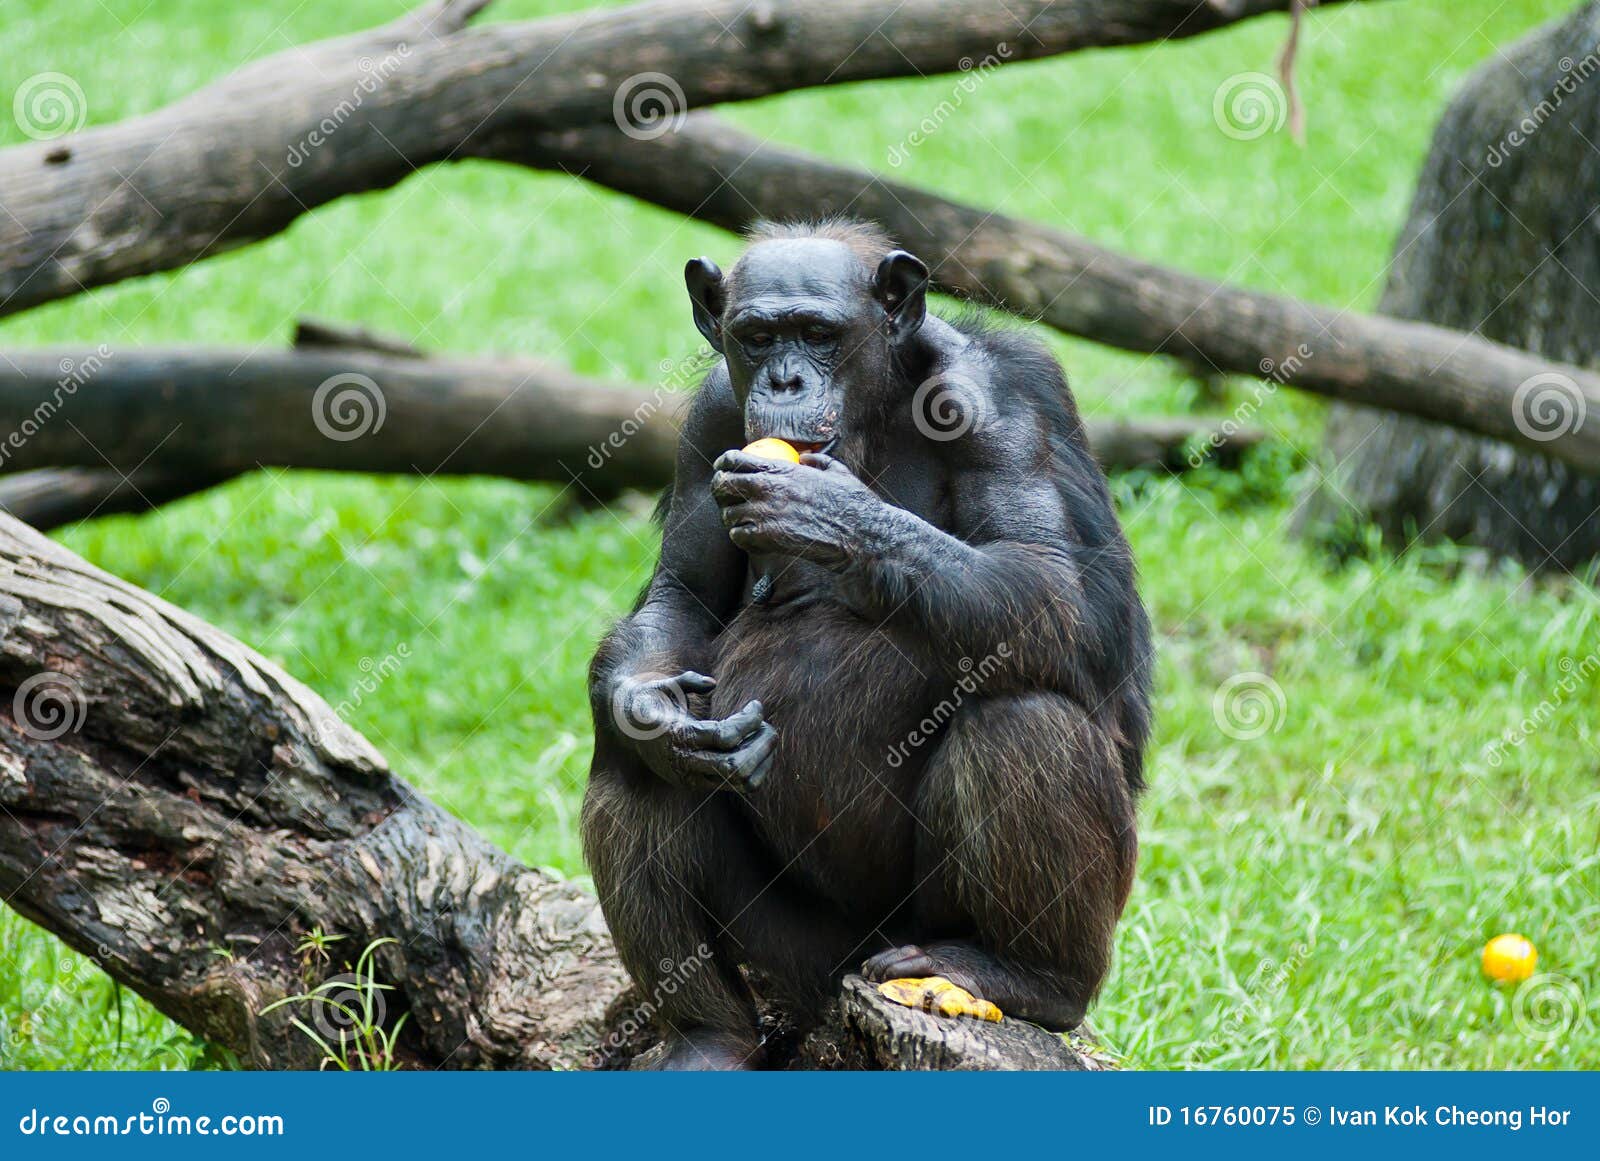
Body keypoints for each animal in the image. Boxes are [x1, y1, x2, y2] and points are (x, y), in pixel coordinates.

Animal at [583, 218, 1152, 1069]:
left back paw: (1025, 976)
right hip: (793, 949)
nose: (785, 380)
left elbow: (1058, 588)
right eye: (758, 337)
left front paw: (826, 510)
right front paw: (660, 717)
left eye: (820, 335)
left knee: (1025, 715)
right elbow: (682, 596)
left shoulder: (997, 402)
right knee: (633, 767)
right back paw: (708, 1034)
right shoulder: (709, 417)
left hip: (927, 927)